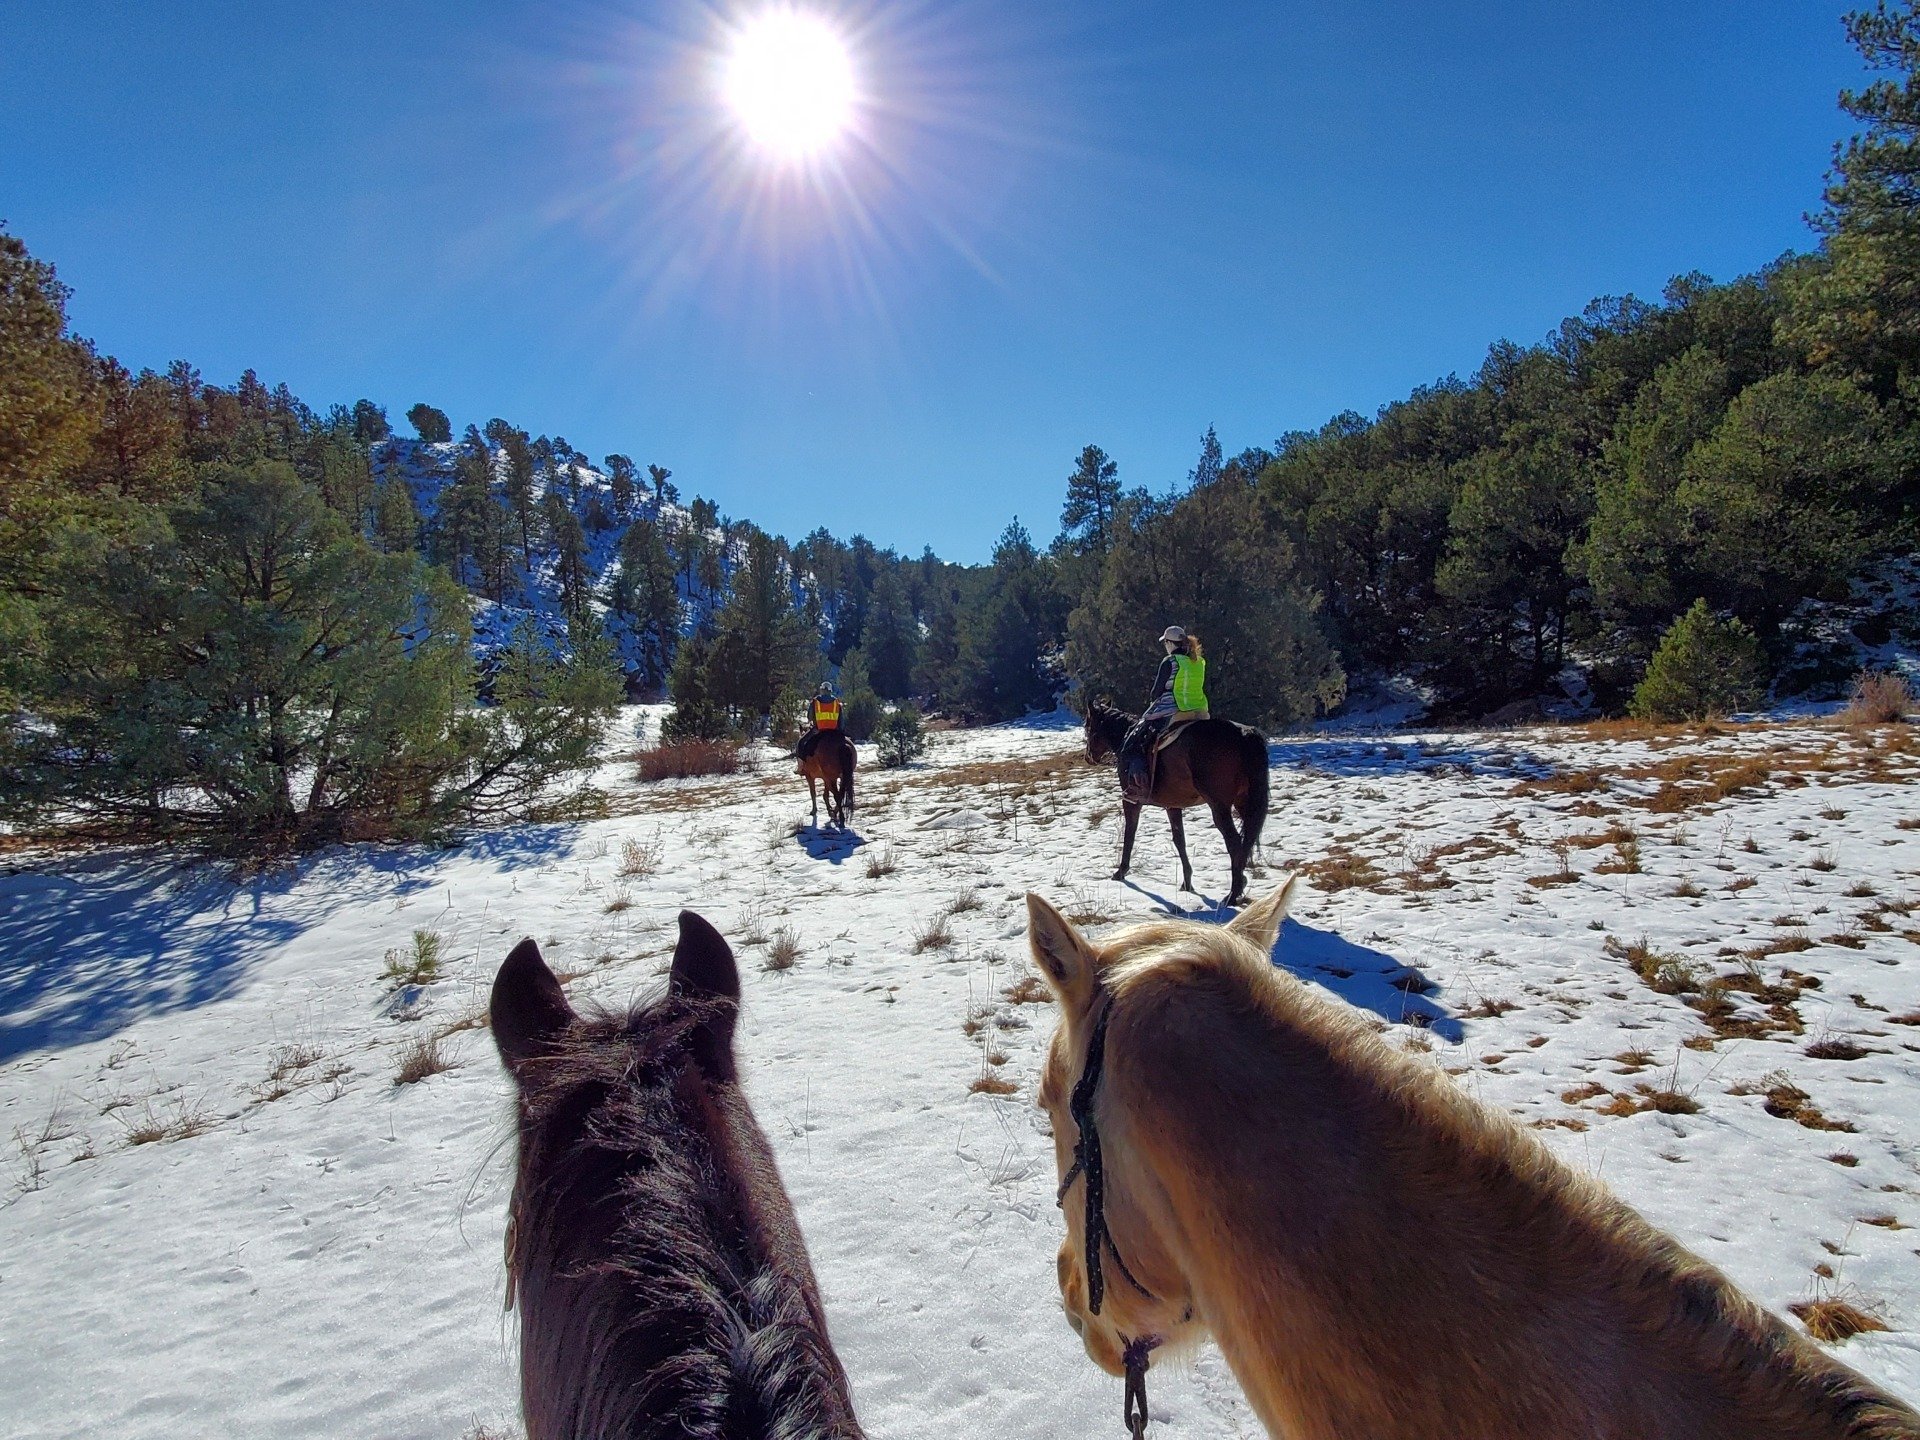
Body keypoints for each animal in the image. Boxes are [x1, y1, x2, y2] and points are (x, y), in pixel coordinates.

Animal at [1082, 699, 1269, 907]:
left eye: (1087, 726)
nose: (1088, 757)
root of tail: (1243, 735)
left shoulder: (1131, 801)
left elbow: (1130, 832)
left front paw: (1121, 870)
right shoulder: (1173, 805)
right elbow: (1180, 840)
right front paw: (1187, 882)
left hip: (1219, 807)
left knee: (1235, 844)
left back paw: (1232, 895)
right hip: (1244, 803)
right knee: (1245, 843)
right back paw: (1239, 886)